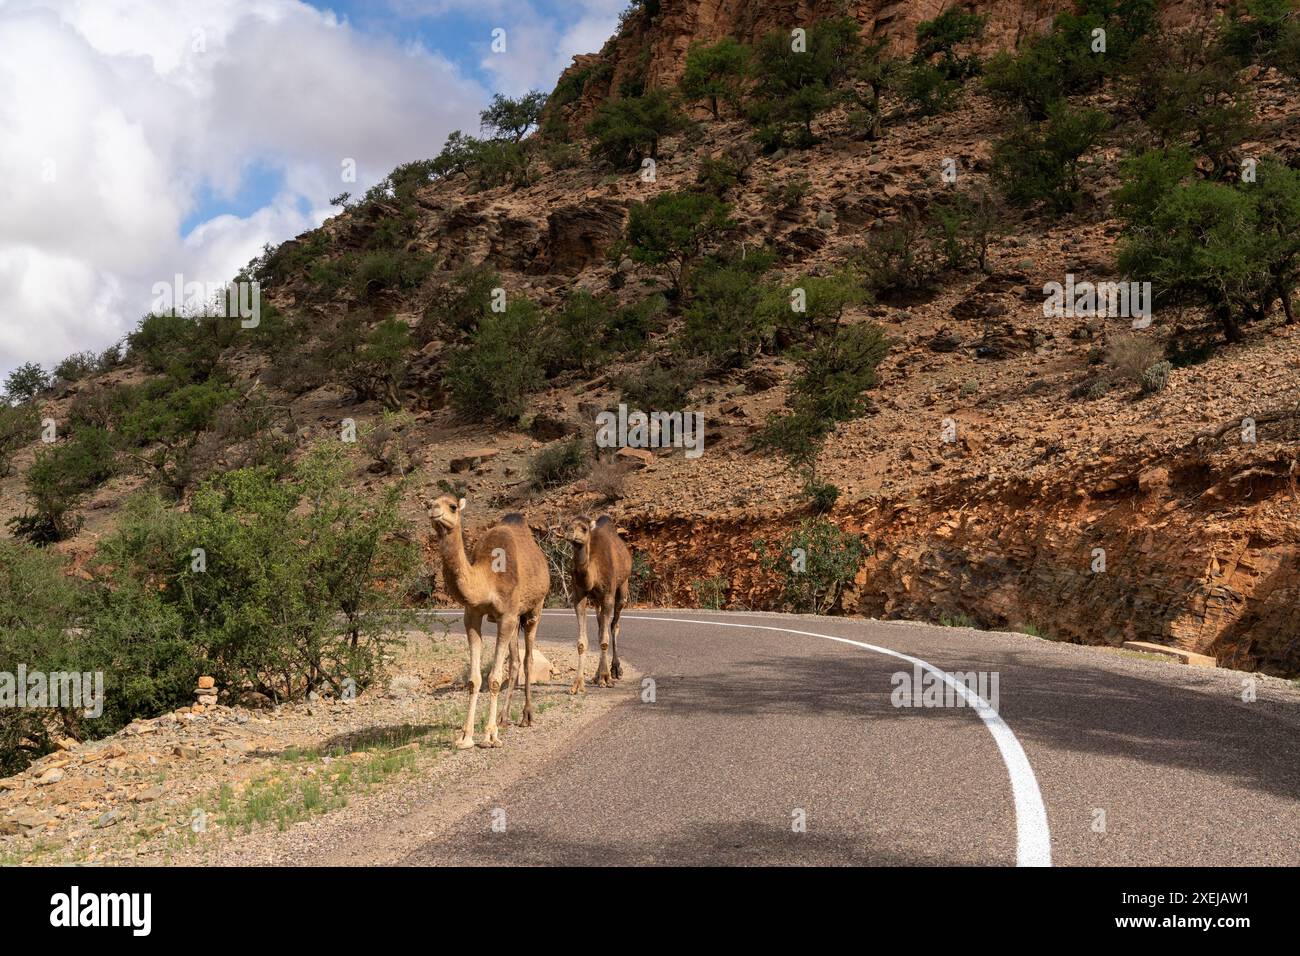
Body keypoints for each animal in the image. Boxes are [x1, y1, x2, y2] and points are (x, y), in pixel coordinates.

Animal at [425, 494, 550, 749]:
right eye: (430, 502)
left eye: (452, 506)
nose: (433, 510)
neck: (488, 578)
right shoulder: (473, 615)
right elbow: (474, 680)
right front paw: (465, 737)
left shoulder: (507, 615)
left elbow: (493, 679)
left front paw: (490, 737)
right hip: (515, 620)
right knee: (515, 661)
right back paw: (504, 717)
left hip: (535, 608)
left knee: (528, 659)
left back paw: (526, 716)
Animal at [564, 514, 632, 693]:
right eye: (568, 525)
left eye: (584, 528)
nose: (570, 533)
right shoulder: (579, 596)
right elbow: (583, 642)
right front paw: (577, 685)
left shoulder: (608, 595)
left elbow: (604, 639)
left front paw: (606, 678)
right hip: (596, 601)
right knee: (601, 625)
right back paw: (596, 675)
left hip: (622, 588)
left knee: (613, 625)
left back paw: (615, 670)